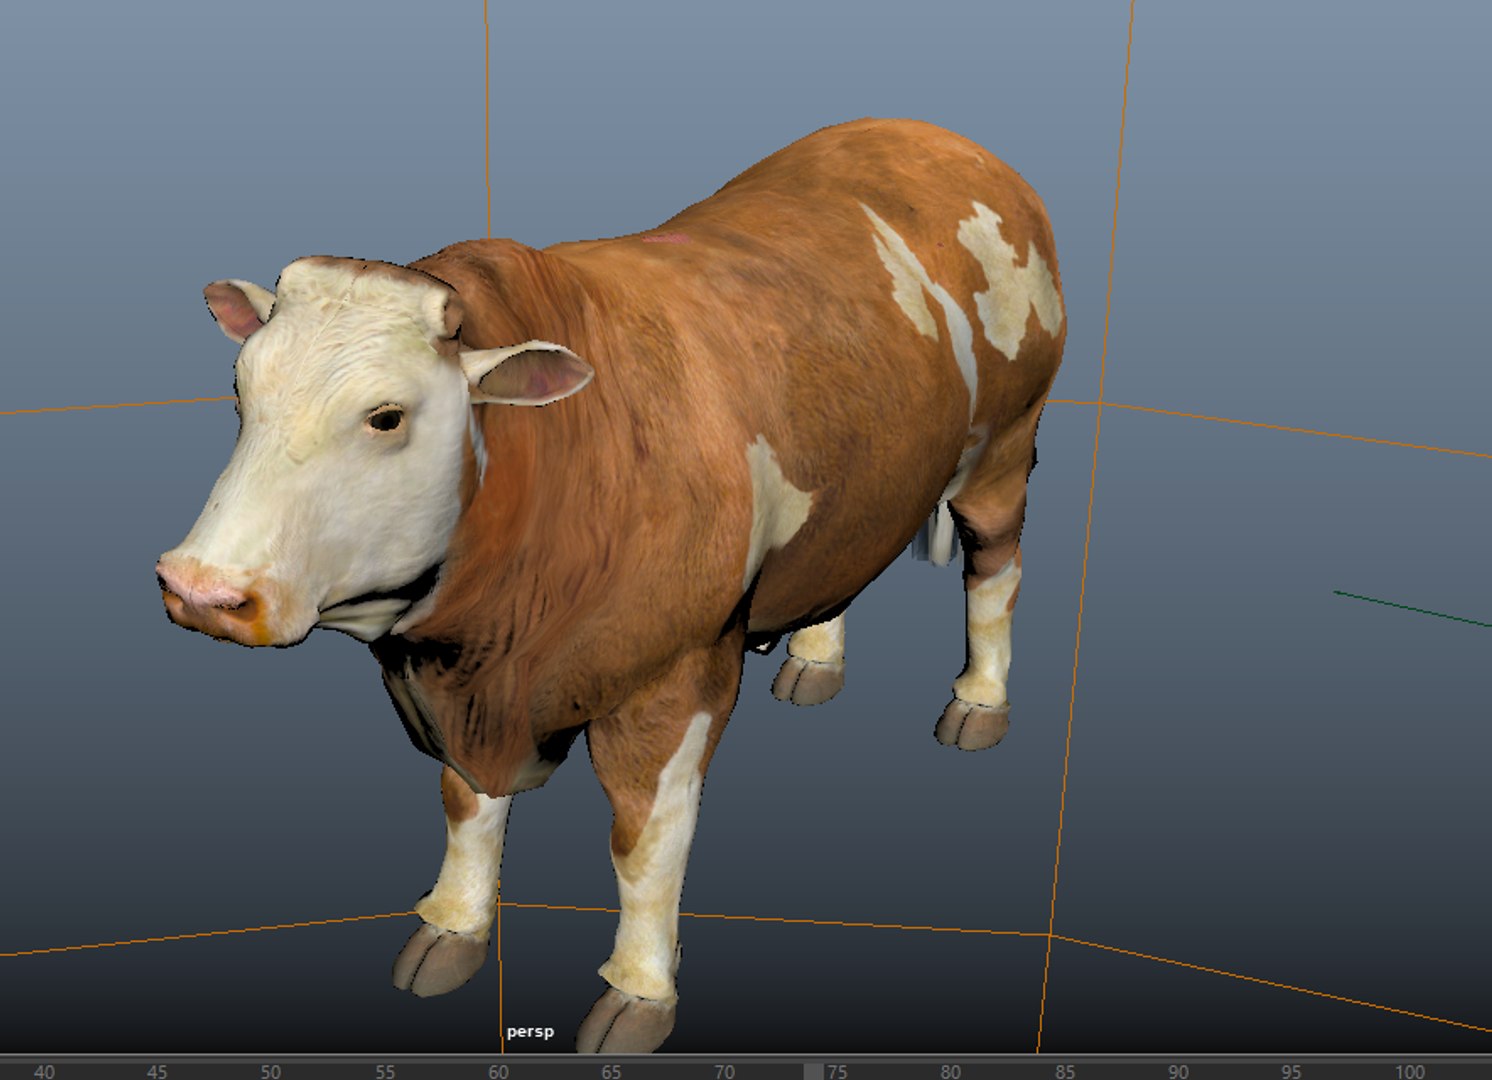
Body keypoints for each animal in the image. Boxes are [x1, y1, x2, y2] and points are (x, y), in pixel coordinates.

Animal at [155, 117, 1065, 1052]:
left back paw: (979, 701)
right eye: (241, 393)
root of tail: (935, 137)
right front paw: (453, 924)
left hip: (1005, 444)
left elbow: (644, 842)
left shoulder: (677, 673)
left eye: (385, 417)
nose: (199, 588)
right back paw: (814, 658)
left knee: (995, 568)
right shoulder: (465, 690)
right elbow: (465, 804)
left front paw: (638, 992)